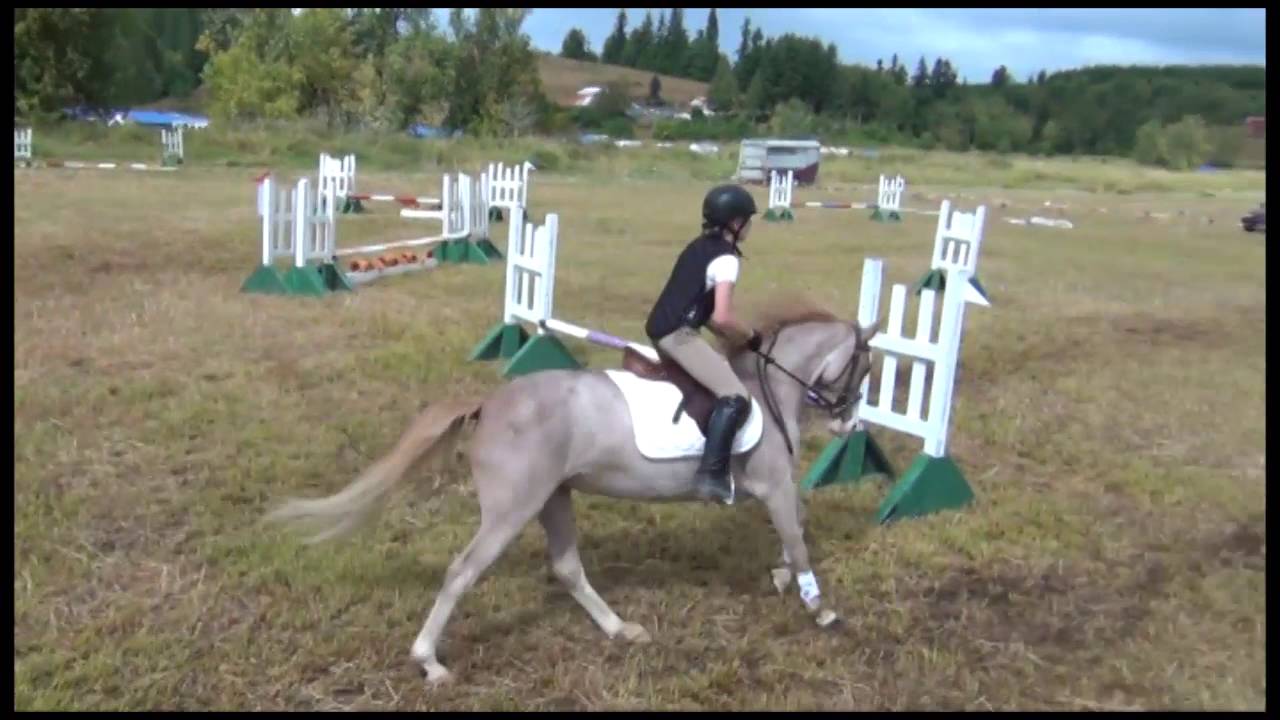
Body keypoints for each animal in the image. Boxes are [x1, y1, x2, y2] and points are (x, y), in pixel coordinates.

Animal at [264, 301, 881, 684]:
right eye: (863, 369)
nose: (849, 424)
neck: (768, 388)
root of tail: (490, 402)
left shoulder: (771, 490)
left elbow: (795, 528)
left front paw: (781, 578)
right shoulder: (773, 485)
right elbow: (797, 535)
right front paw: (820, 608)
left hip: (553, 498)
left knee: (566, 567)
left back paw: (619, 629)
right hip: (512, 510)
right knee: (463, 572)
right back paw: (430, 663)